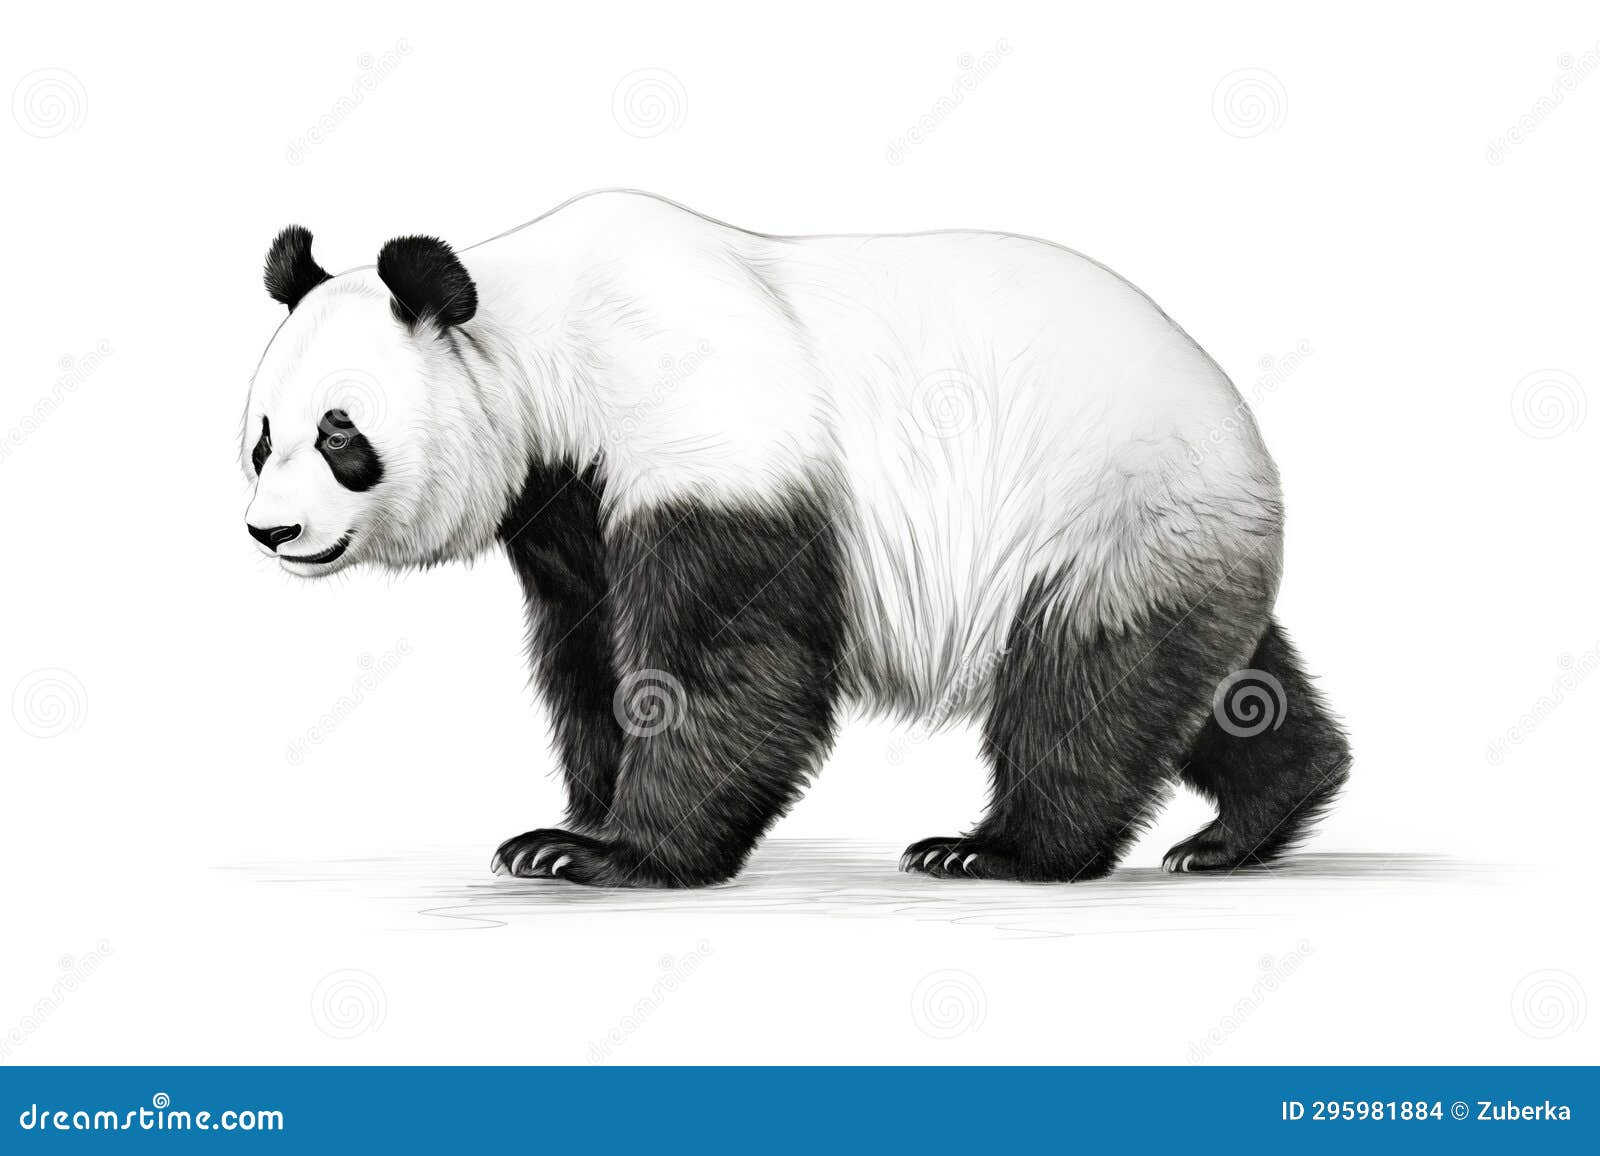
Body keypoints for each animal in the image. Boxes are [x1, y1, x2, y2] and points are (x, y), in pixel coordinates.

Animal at [241, 189, 1350, 888]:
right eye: (261, 436)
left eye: (340, 434)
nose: (273, 530)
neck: (536, 335)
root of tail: (1245, 433)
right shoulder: (566, 500)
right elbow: (592, 648)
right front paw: (570, 827)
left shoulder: (702, 417)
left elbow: (727, 661)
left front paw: (611, 855)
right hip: (1168, 534)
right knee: (1215, 683)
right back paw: (1257, 817)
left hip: (1107, 502)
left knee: (1083, 686)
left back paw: (999, 851)